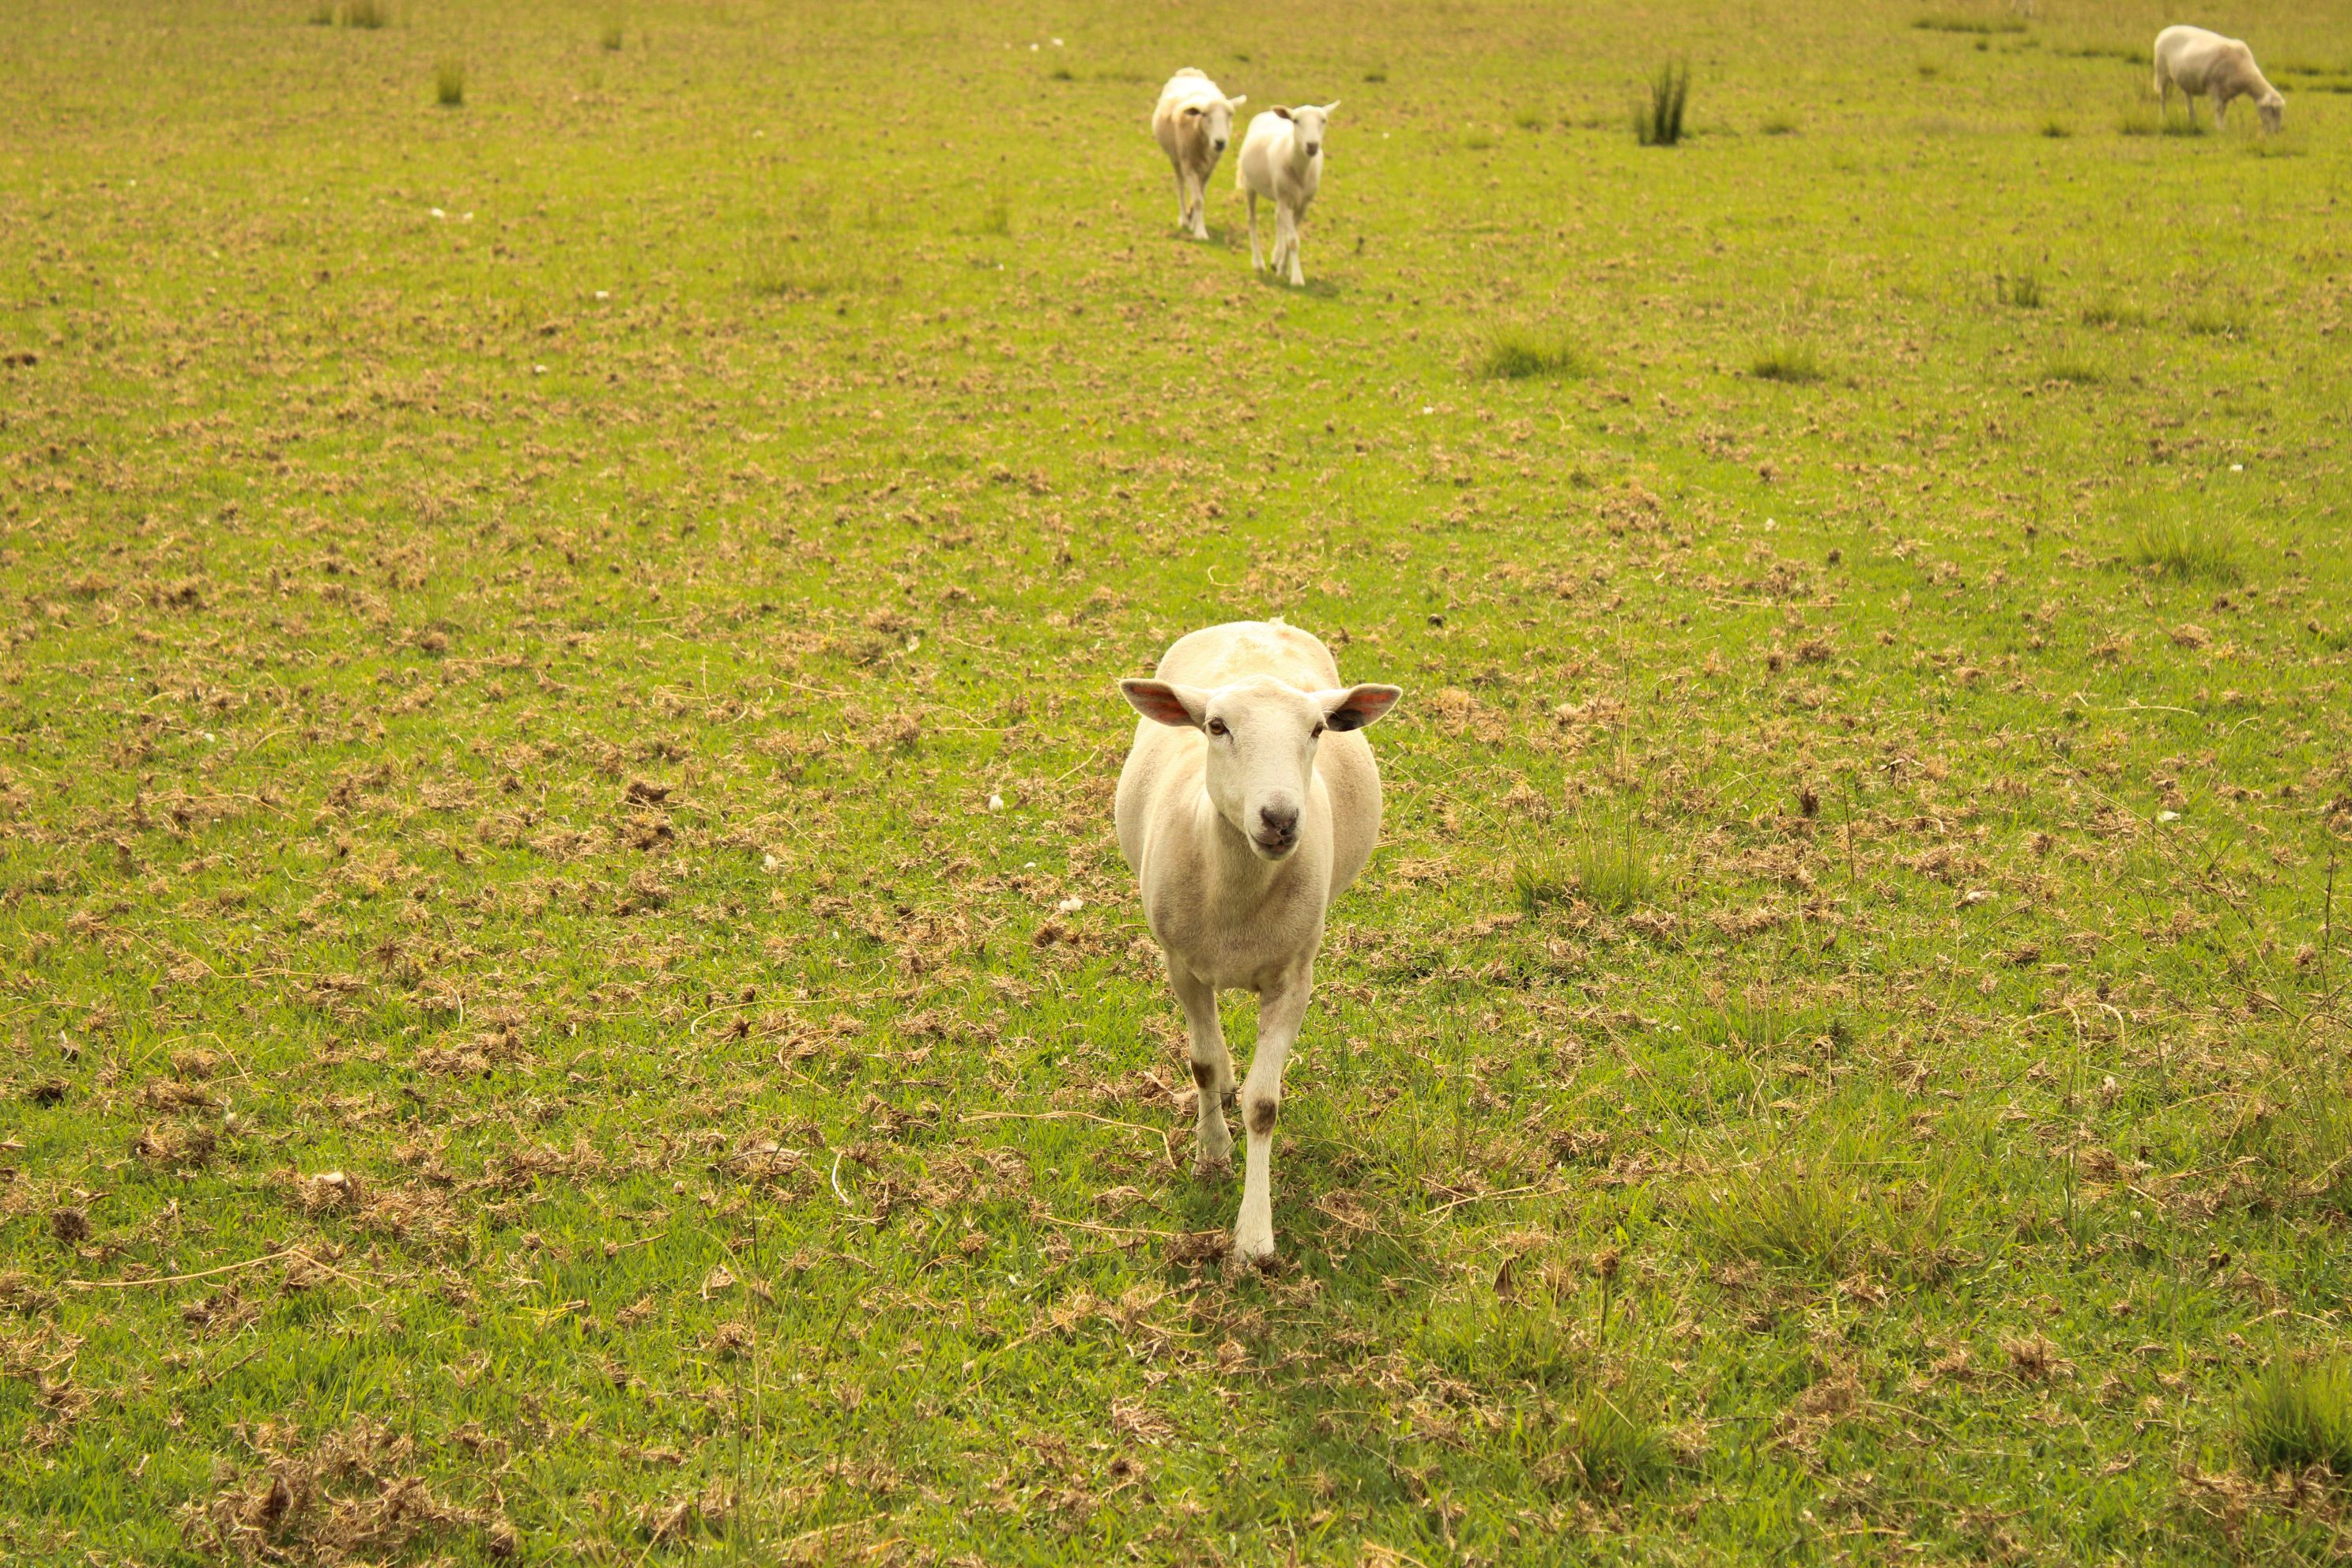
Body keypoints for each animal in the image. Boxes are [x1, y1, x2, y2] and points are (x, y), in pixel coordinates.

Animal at [1115, 619, 1402, 1265]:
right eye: (1218, 727)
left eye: (1317, 730)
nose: (1280, 819)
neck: (1236, 903)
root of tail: (1256, 625)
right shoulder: (1180, 964)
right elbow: (1198, 1063)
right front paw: (1212, 1154)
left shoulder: (1294, 981)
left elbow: (1264, 1106)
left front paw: (1253, 1237)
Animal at [1152, 69, 1247, 241]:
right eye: (1204, 115)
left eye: (1230, 115)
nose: (1220, 142)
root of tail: (1189, 71)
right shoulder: (1188, 164)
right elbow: (1197, 199)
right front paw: (1200, 231)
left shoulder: (1209, 168)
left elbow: (1201, 196)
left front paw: (1195, 222)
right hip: (1176, 158)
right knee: (1181, 185)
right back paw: (1184, 219)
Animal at [1236, 103, 1337, 286]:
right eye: (1296, 121)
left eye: (1323, 120)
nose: (1312, 145)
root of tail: (1269, 113)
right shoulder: (1284, 200)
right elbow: (1293, 240)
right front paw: (1297, 278)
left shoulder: (1303, 204)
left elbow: (1292, 236)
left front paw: (1283, 269)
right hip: (1250, 185)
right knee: (1252, 219)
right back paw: (1258, 263)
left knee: (1278, 218)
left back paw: (1276, 258)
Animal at [2154, 25, 2285, 133]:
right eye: (2273, 111)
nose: (2276, 132)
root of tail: (2164, 31)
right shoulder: (2214, 86)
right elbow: (2218, 108)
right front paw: (2220, 128)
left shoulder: (2226, 92)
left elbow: (2223, 110)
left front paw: (2221, 125)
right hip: (2162, 73)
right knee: (2163, 98)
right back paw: (2163, 118)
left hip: (2186, 80)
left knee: (2189, 101)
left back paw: (2193, 121)